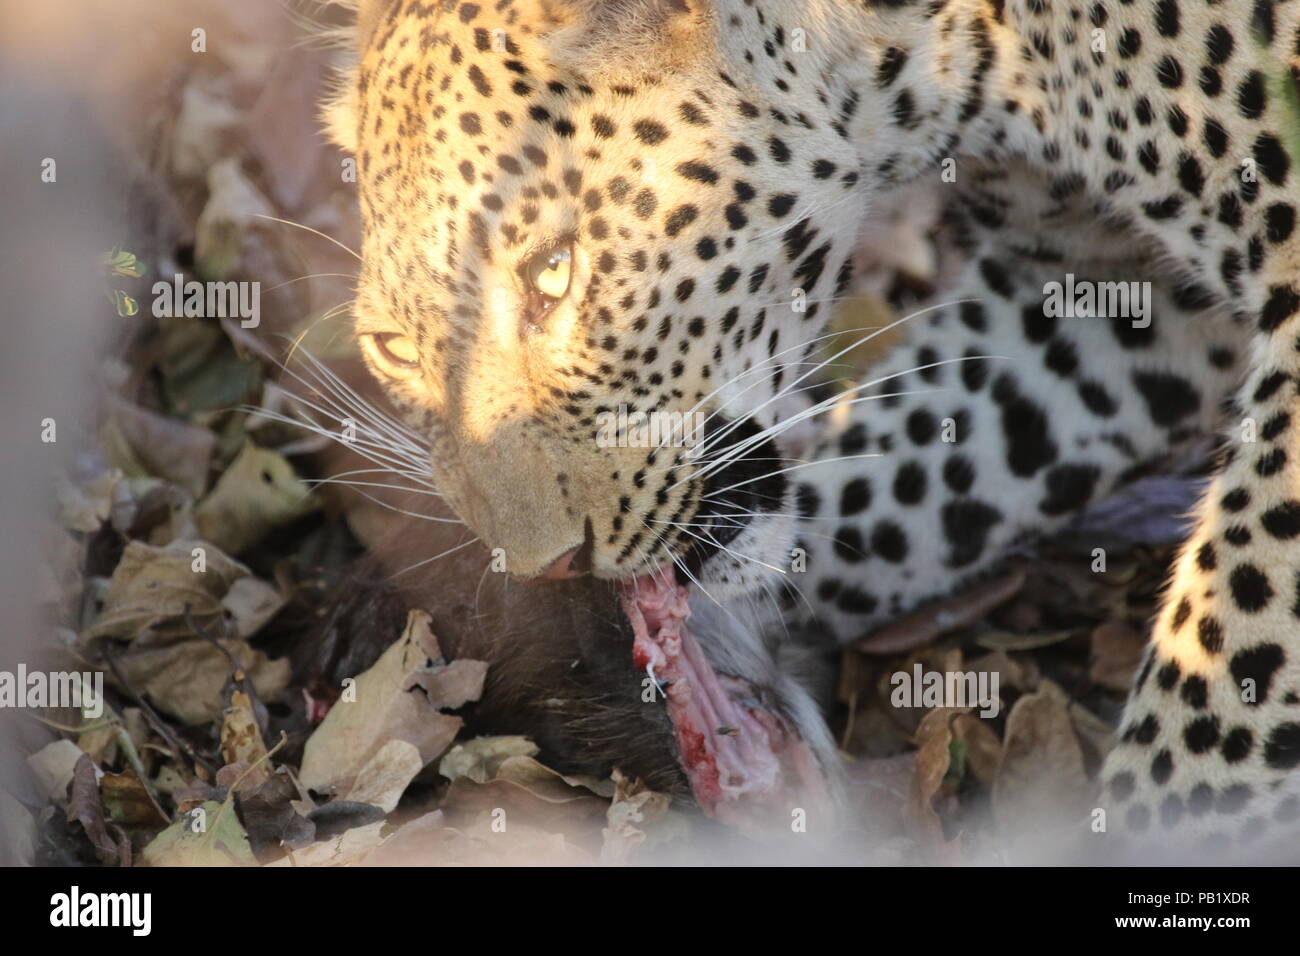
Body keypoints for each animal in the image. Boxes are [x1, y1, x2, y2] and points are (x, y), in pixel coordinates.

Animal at [321, 0, 1300, 855]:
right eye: (392, 350)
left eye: (553, 273)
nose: (547, 565)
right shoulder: (1105, 307)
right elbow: (912, 472)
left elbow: (1229, 657)